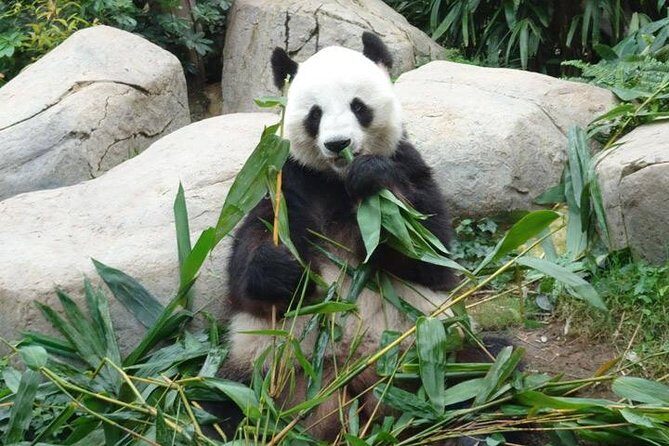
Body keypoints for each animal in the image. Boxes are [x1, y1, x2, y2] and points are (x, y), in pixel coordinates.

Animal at [221, 33, 465, 440]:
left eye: (358, 106)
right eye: (314, 114)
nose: (338, 144)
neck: (334, 181)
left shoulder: (408, 164)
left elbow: (430, 252)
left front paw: (372, 181)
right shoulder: (287, 184)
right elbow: (247, 263)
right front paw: (282, 269)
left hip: (428, 349)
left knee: (476, 369)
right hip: (261, 369)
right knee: (219, 403)